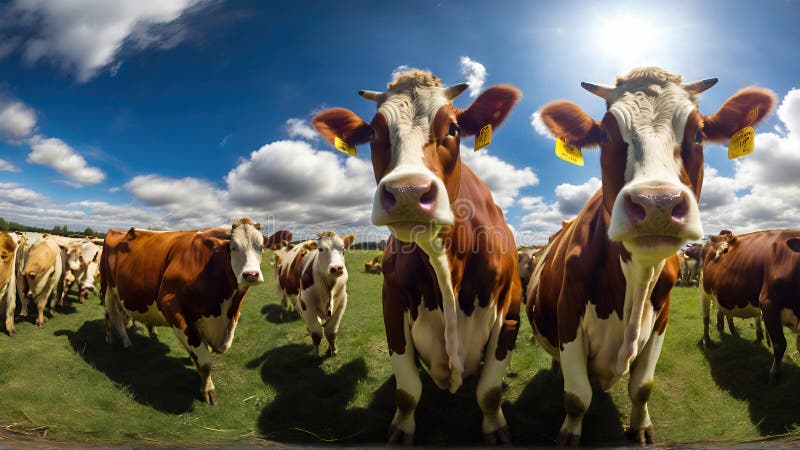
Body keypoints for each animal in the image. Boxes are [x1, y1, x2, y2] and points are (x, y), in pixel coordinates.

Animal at [101, 218, 287, 404]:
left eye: (261, 247)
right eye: (233, 247)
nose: (251, 274)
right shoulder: (171, 306)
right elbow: (204, 360)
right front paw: (208, 390)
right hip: (107, 287)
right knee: (112, 316)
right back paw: (120, 341)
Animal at [313, 69, 522, 444]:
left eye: (453, 128)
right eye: (373, 133)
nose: (408, 191)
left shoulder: (510, 307)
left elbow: (489, 392)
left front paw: (496, 430)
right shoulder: (392, 305)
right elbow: (408, 390)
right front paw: (401, 430)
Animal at [527, 67, 775, 446]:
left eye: (699, 134)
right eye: (605, 135)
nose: (657, 203)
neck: (636, 282)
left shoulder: (661, 319)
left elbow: (642, 386)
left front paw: (641, 427)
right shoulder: (567, 316)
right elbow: (577, 395)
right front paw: (570, 434)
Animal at [701, 229, 800, 383]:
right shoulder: (768, 303)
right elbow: (780, 343)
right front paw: (774, 374)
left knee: (724, 312)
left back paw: (729, 330)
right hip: (704, 291)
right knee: (705, 319)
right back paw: (708, 341)